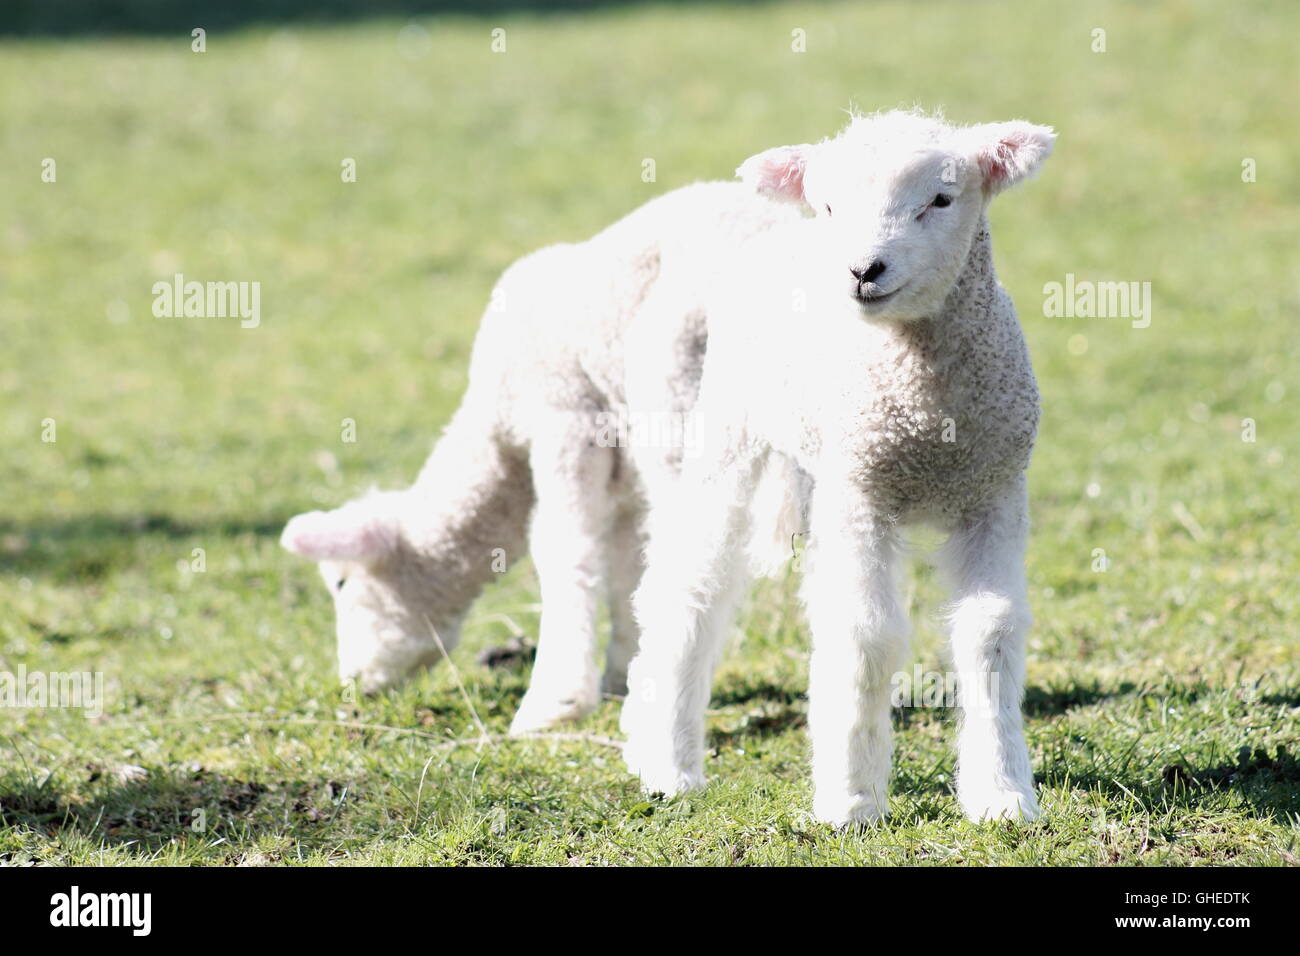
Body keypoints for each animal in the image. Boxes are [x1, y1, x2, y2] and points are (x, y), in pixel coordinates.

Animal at [280, 182, 800, 734]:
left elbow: (564, 547)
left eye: (341, 582)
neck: (498, 438)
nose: (354, 685)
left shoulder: (564, 419)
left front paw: (557, 701)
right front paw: (620, 672)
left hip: (677, 396)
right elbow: (627, 560)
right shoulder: (622, 469)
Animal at [619, 110, 1056, 824]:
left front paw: (1003, 795)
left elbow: (988, 633)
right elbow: (866, 633)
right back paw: (669, 766)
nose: (863, 269)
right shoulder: (863, 489)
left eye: (941, 199)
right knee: (691, 588)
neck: (925, 420)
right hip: (729, 428)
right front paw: (852, 801)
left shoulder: (994, 490)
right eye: (829, 205)